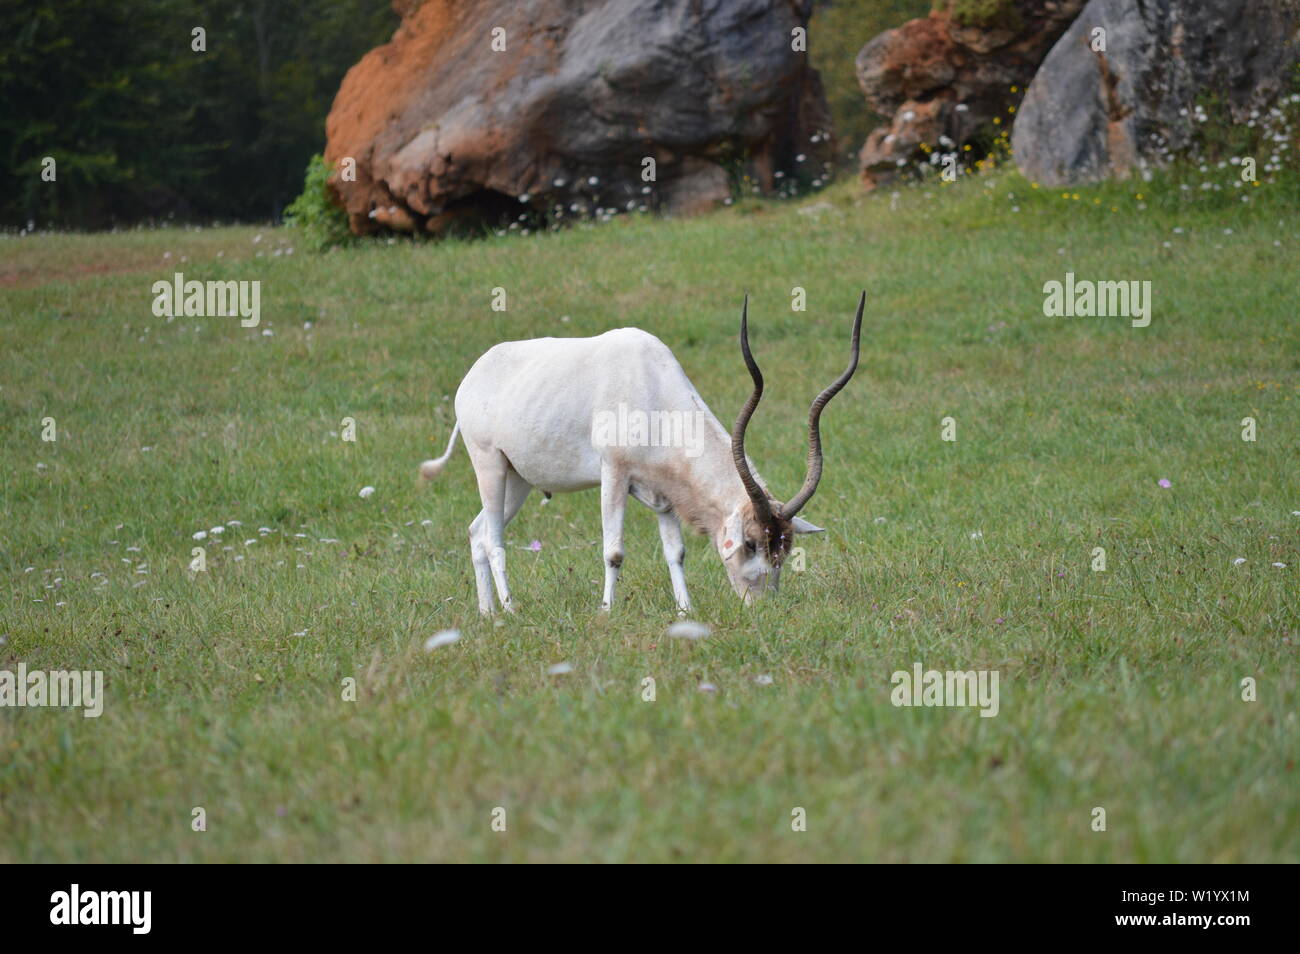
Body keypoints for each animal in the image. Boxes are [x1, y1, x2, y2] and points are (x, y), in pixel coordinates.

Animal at [420, 293, 864, 615]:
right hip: (490, 465)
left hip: (519, 481)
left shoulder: (662, 490)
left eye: (784, 549)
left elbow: (676, 552)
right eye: (752, 544)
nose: (761, 606)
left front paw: (686, 611)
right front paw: (607, 611)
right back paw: (511, 610)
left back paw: (488, 614)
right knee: (494, 539)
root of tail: (474, 375)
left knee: (477, 532)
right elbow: (614, 551)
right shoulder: (614, 472)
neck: (653, 386)